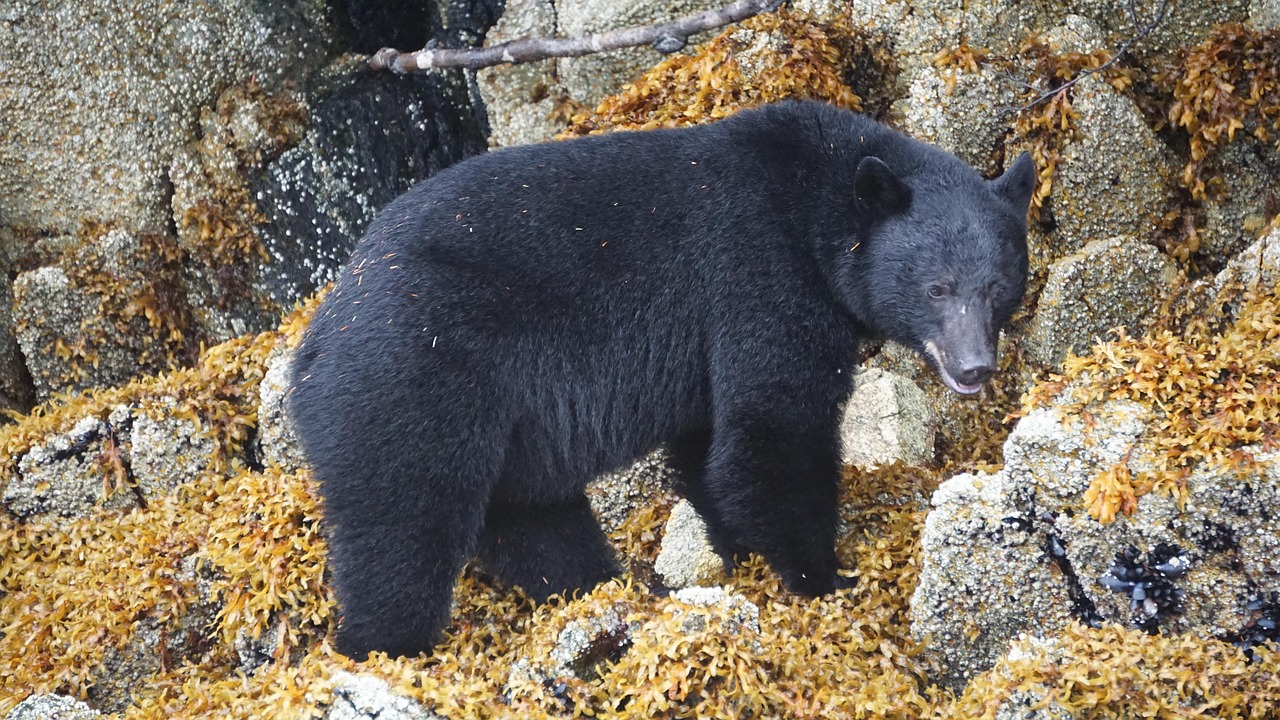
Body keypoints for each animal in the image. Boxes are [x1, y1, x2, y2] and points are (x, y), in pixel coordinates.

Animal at [288, 100, 1036, 659]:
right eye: (938, 288)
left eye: (998, 288)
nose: (975, 366)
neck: (815, 203)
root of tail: (313, 346)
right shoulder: (759, 273)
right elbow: (772, 427)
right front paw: (824, 574)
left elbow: (709, 451)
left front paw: (741, 557)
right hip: (411, 384)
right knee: (403, 531)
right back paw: (383, 646)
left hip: (501, 429)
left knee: (533, 516)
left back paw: (605, 593)